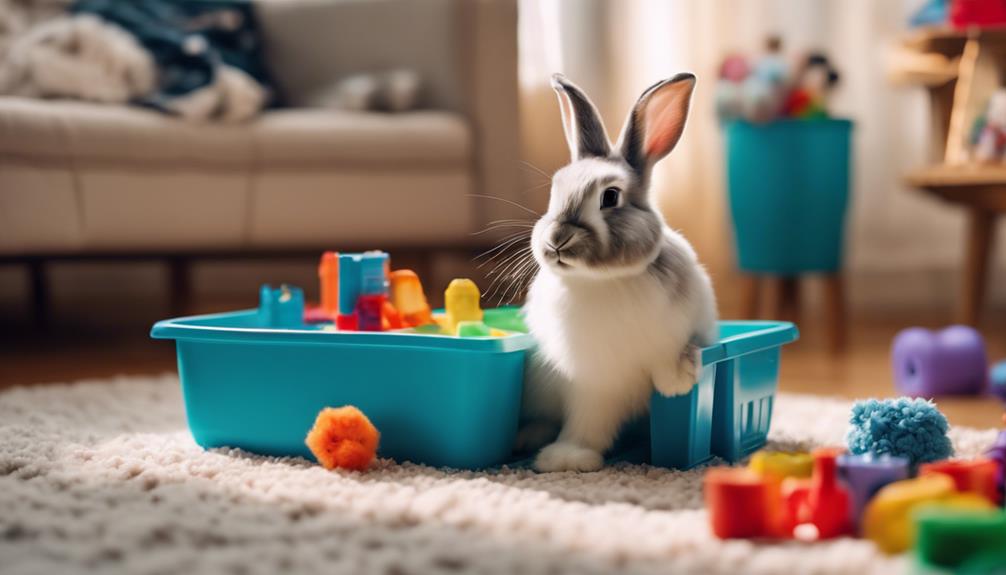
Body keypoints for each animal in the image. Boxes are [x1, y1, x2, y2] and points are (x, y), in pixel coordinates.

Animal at [518, 73, 718, 472]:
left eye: (610, 197)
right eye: (554, 192)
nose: (556, 240)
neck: (604, 281)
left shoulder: (680, 331)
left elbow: (674, 353)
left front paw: (677, 383)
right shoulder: (594, 383)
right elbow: (588, 422)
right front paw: (567, 458)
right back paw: (529, 437)